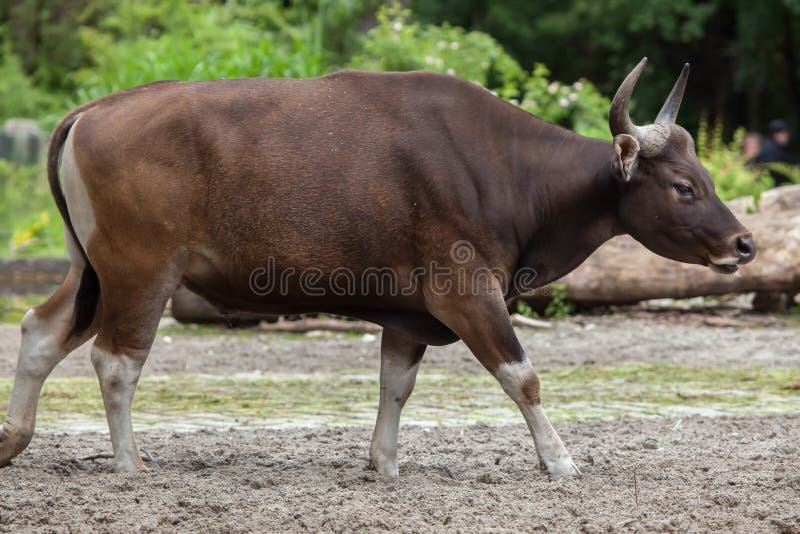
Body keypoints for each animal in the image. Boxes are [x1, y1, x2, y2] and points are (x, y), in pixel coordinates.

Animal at [0, 58, 755, 478]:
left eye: (707, 175)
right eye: (683, 187)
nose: (745, 244)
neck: (507, 169)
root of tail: (90, 111)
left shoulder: (410, 312)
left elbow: (396, 385)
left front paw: (384, 464)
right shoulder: (467, 294)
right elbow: (524, 377)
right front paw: (561, 462)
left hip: (91, 269)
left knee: (39, 330)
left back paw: (13, 441)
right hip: (141, 270)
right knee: (115, 362)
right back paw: (130, 464)